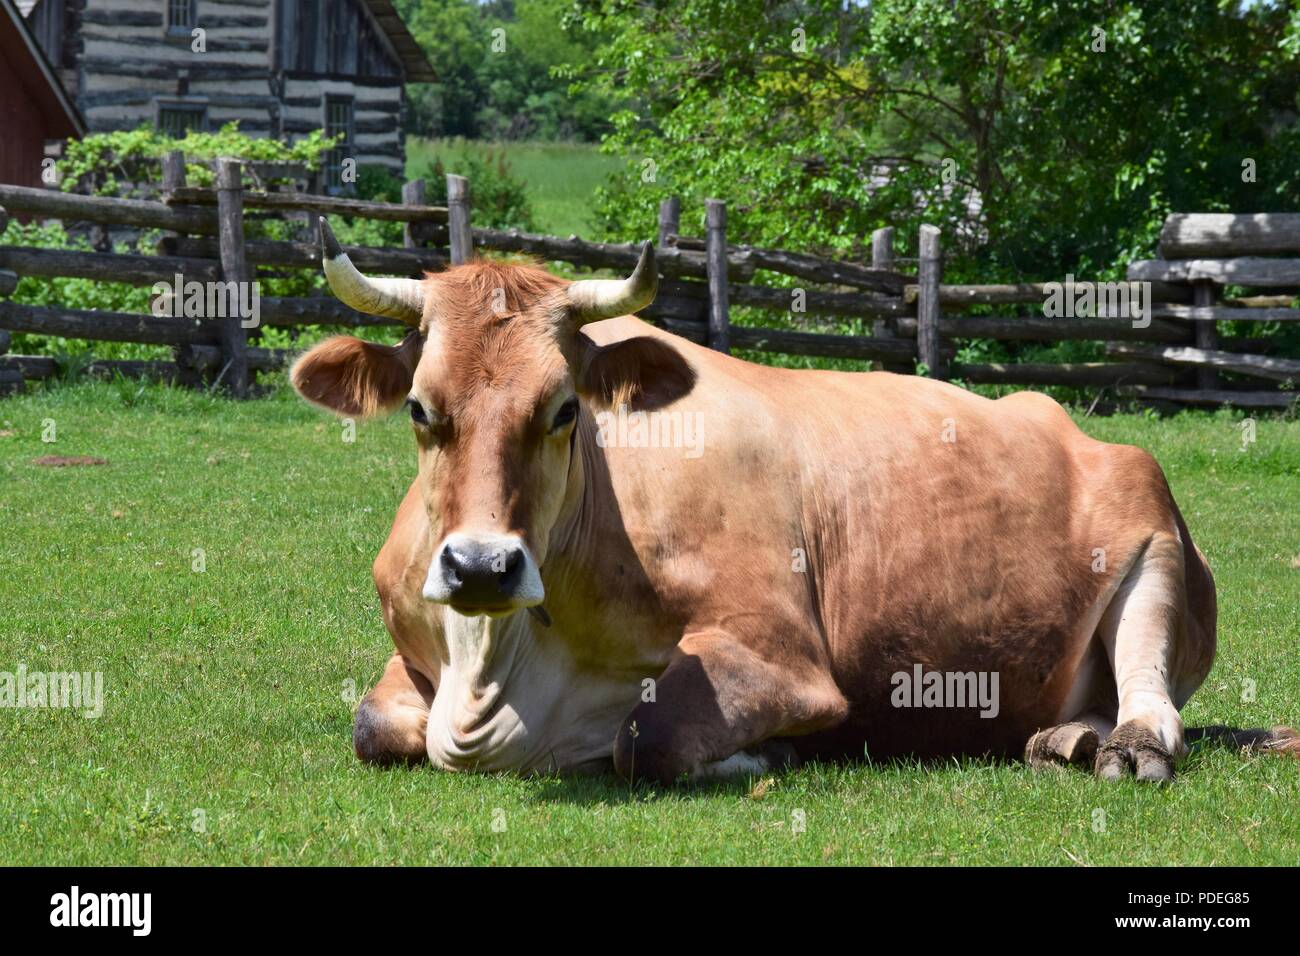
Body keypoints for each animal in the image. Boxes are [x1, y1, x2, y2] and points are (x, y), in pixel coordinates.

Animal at [292, 216, 1297, 784]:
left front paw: (772, 753)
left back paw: (1123, 748)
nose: (481, 567)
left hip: (1155, 550)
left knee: (1152, 703)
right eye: (420, 409)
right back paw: (1065, 741)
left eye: (565, 409)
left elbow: (647, 737)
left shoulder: (782, 657)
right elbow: (373, 725)